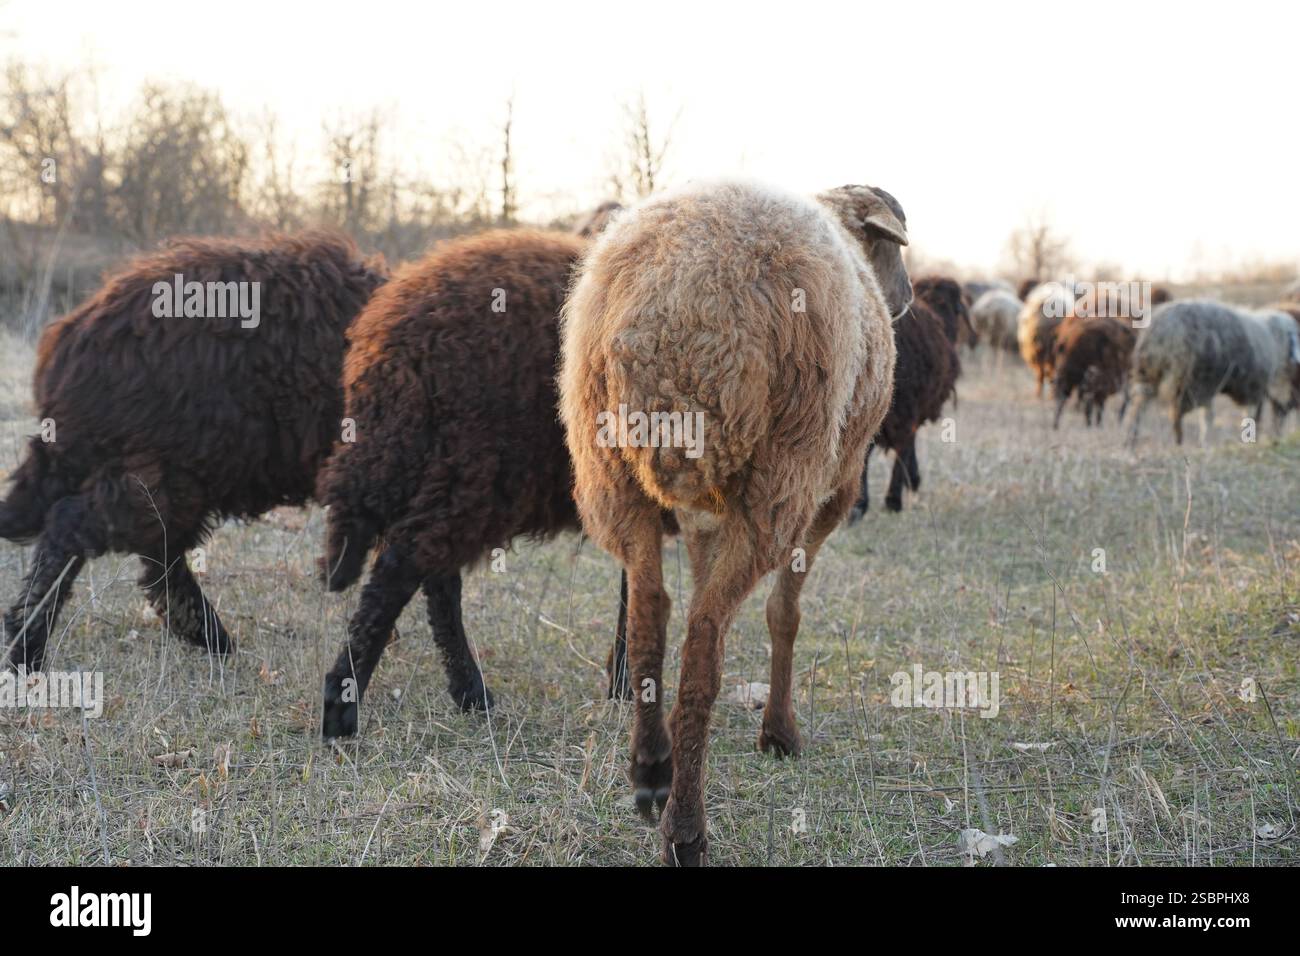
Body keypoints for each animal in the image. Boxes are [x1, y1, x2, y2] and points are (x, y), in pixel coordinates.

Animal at [0, 232, 386, 672]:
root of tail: (79, 332)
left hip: (171, 470)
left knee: (156, 553)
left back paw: (208, 636)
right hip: (171, 464)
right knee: (76, 530)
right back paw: (27, 648)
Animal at [318, 229, 597, 735]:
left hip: (446, 467)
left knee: (434, 576)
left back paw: (468, 692)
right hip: (476, 466)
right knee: (402, 570)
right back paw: (342, 707)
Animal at [559, 180, 909, 865]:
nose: (906, 298)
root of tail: (674, 309)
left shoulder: (703, 513)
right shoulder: (836, 487)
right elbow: (785, 613)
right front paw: (779, 733)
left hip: (610, 468)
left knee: (652, 616)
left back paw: (652, 768)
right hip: (782, 474)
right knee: (703, 646)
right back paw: (686, 829)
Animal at [1126, 300, 1300, 445]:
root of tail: (1163, 330)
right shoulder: (1253, 388)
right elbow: (1252, 415)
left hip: (1148, 376)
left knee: (1138, 410)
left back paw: (1131, 443)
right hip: (1188, 381)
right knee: (1176, 415)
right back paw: (1179, 444)